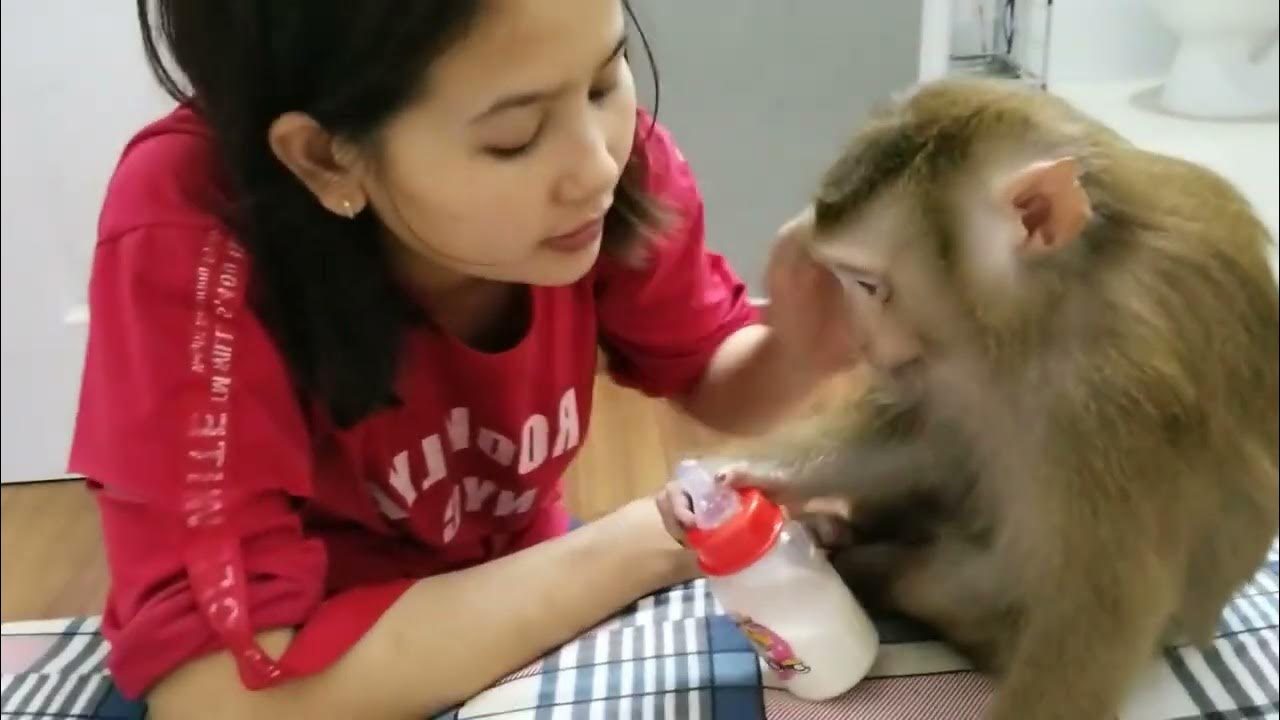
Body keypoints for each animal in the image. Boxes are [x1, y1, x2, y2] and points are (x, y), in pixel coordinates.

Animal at [723, 77, 1279, 720]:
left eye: (866, 284)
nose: (860, 339)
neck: (1048, 304)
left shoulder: (1117, 386)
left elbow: (1101, 608)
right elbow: (926, 439)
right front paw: (726, 480)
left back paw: (884, 570)